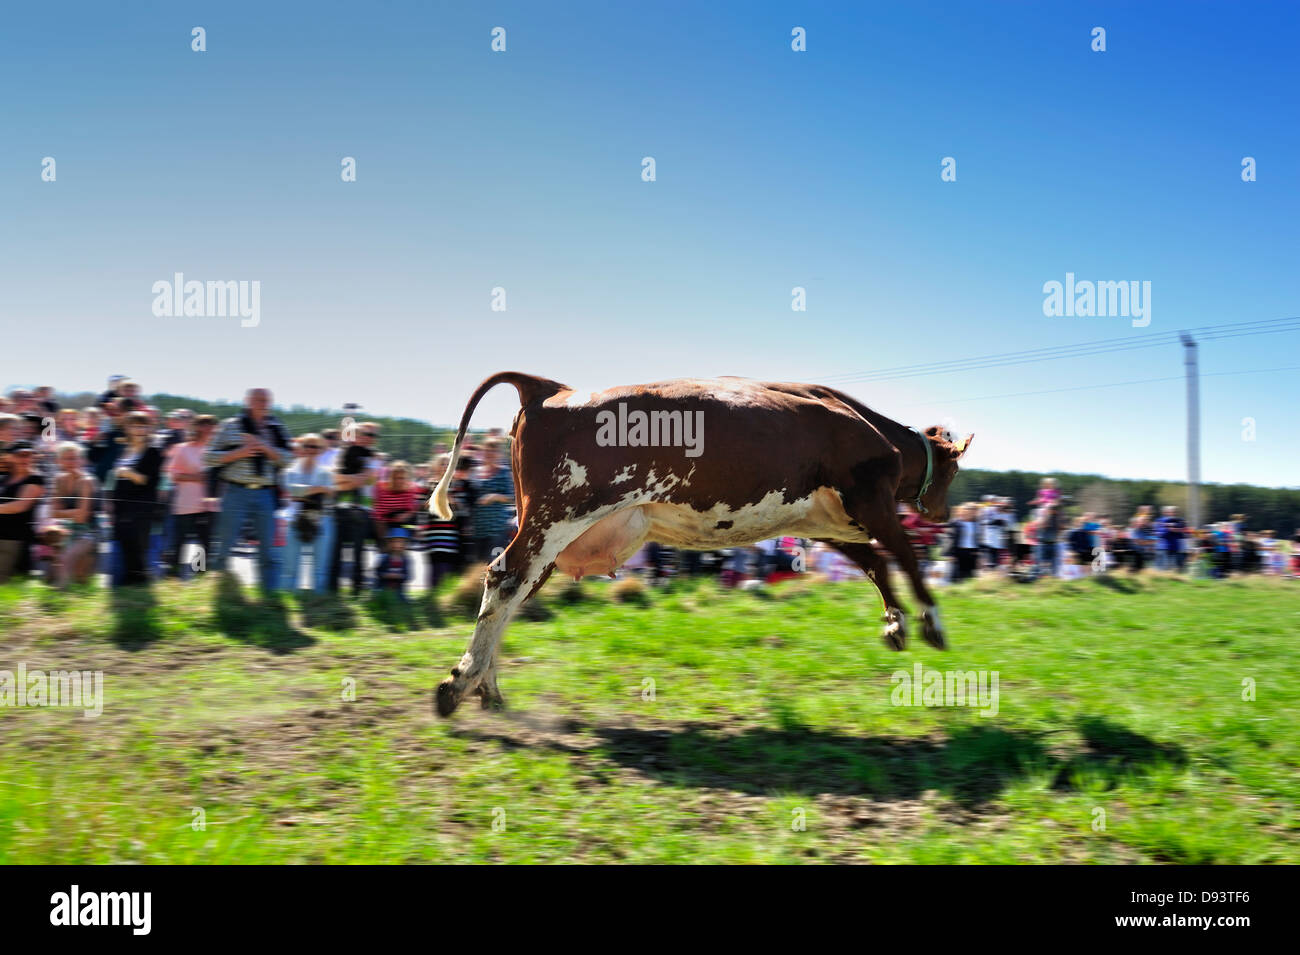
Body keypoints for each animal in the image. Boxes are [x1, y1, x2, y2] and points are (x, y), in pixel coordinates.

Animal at [428, 372, 973, 716]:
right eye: (953, 471)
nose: (944, 514)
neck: (869, 428)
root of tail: (549, 390)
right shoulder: (871, 503)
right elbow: (906, 556)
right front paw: (931, 621)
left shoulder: (827, 522)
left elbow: (876, 563)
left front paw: (896, 623)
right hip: (555, 519)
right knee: (504, 579)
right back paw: (458, 686)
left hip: (549, 531)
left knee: (512, 594)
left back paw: (488, 691)